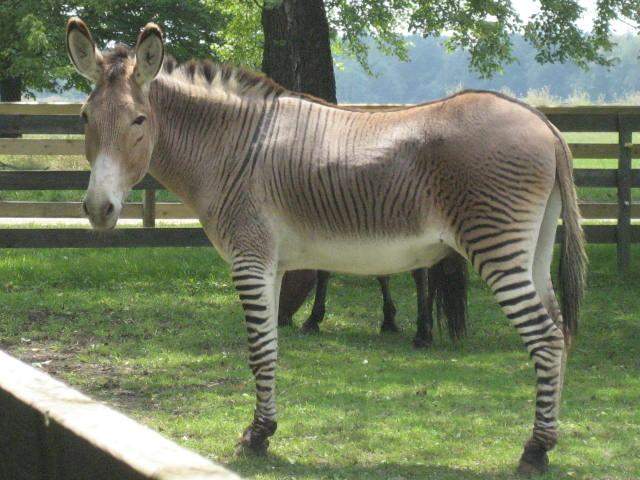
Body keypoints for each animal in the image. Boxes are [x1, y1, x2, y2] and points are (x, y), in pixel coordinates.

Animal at [66, 19, 586, 475]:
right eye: (85, 117)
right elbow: (271, 346)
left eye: (139, 119)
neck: (233, 149)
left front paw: (257, 437)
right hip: (533, 247)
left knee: (544, 337)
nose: (97, 209)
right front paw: (264, 428)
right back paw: (549, 440)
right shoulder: (273, 265)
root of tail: (543, 123)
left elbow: (259, 349)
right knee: (558, 330)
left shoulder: (249, 258)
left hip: (496, 245)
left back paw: (535, 450)